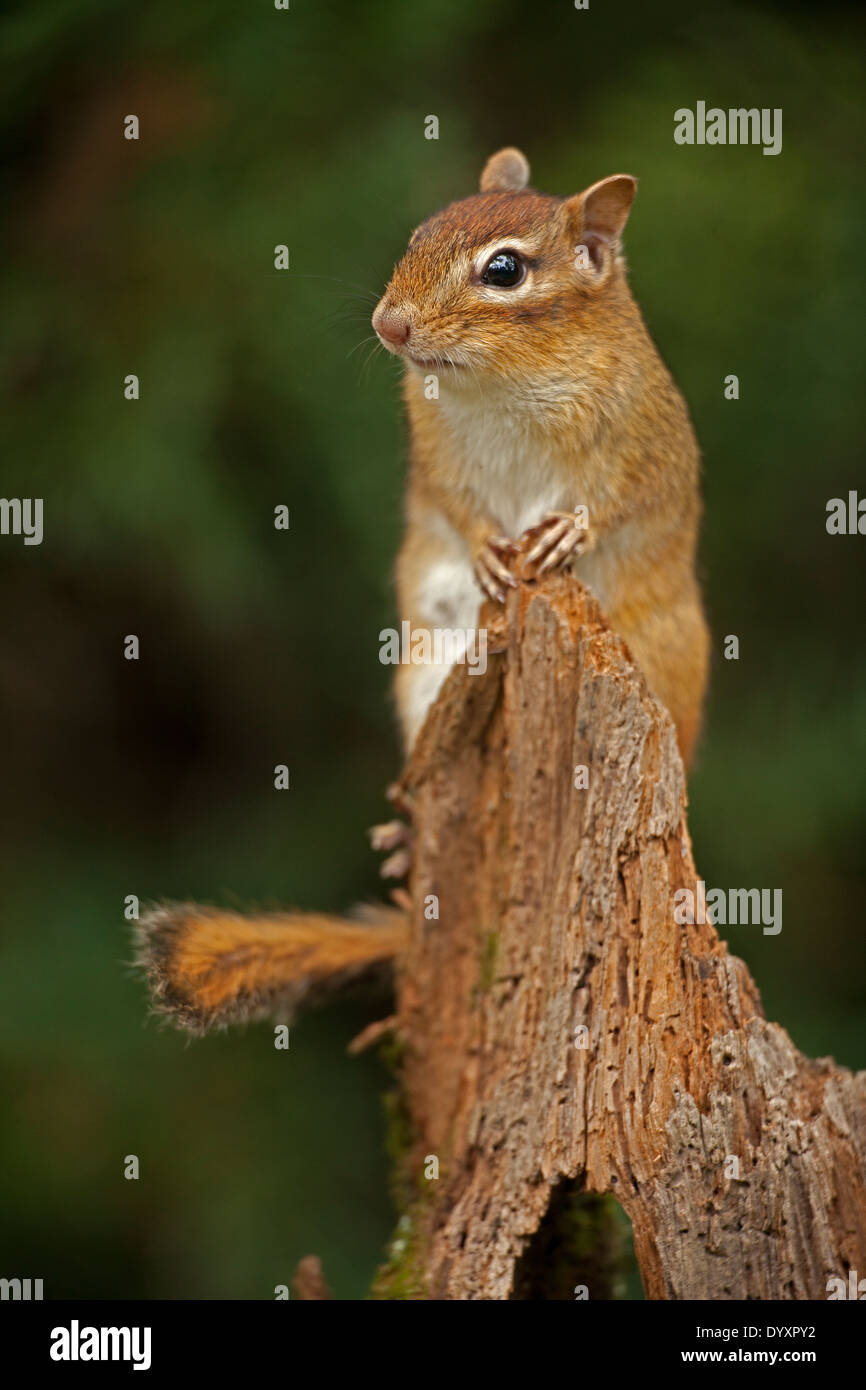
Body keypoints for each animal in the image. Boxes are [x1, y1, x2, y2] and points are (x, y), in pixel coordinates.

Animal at [138, 148, 708, 1034]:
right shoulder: (437, 459)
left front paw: (567, 534)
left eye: (505, 270)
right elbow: (455, 506)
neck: (503, 384)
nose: (389, 326)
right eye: (419, 234)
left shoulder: (643, 439)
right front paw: (484, 553)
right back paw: (407, 840)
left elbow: (618, 499)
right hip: (424, 678)